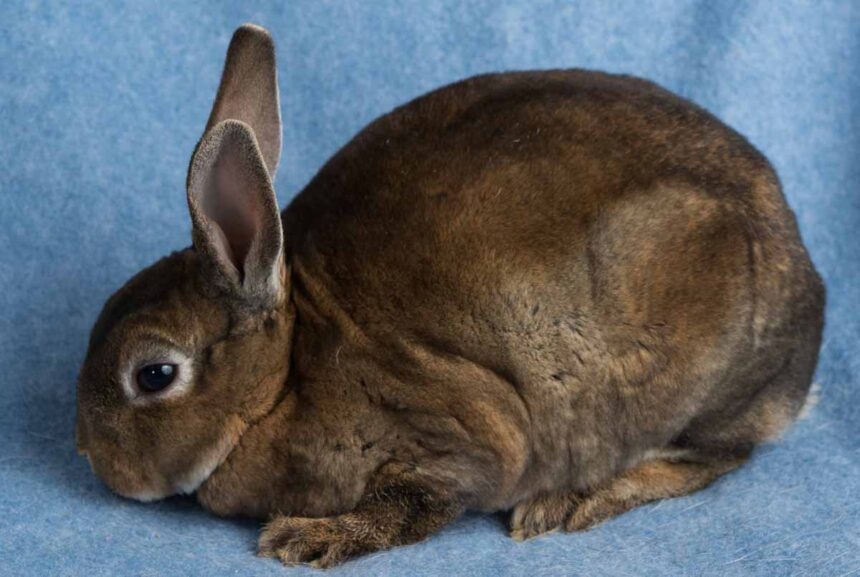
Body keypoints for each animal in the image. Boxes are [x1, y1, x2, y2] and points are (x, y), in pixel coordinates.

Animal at [75, 23, 825, 568]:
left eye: (154, 374)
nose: (87, 451)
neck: (284, 378)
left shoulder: (456, 440)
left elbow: (412, 506)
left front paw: (307, 538)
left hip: (687, 373)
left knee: (716, 456)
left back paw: (566, 503)